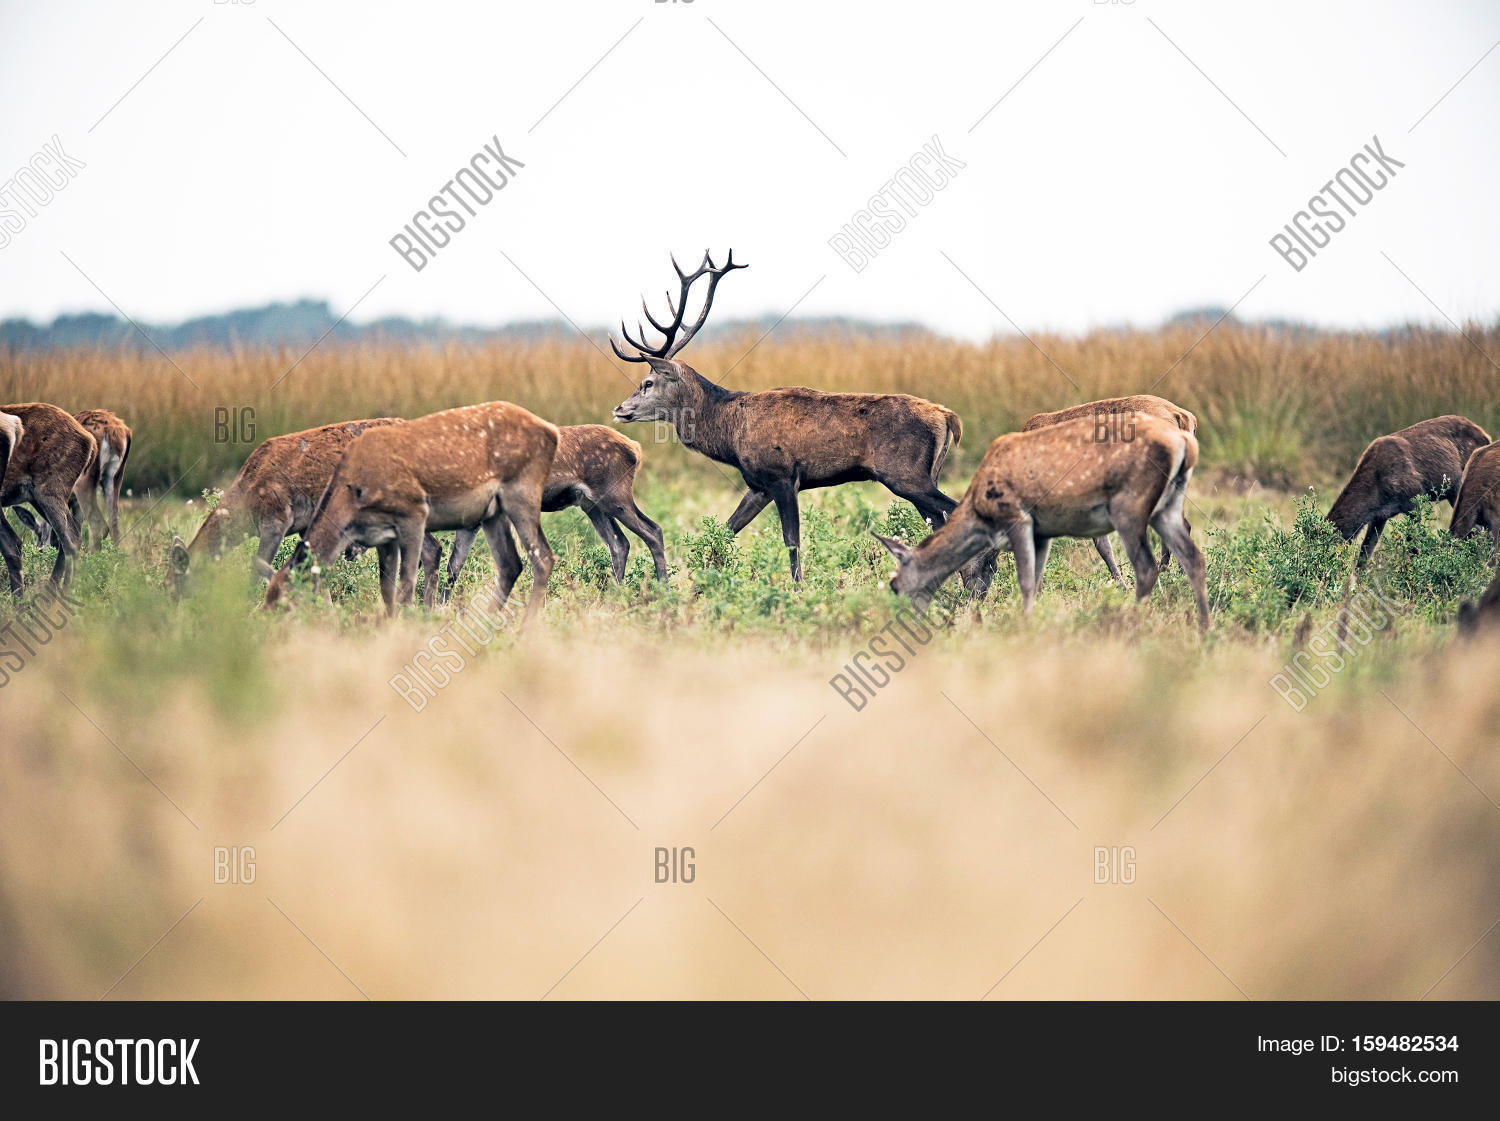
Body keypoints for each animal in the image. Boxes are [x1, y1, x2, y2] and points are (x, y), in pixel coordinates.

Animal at [14, 408, 133, 549]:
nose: (40, 548)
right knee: (114, 526)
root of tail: (113, 432)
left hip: (84, 483)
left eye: (38, 536)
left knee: (99, 526)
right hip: (115, 478)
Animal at [265, 402, 559, 625]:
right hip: (493, 513)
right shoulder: (382, 536)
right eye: (269, 597)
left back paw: (523, 630)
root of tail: (551, 430)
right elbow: (387, 590)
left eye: (286, 602)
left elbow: (406, 586)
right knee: (511, 564)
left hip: (522, 494)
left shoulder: (413, 514)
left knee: (543, 557)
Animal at [439, 423, 666, 602]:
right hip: (591, 504)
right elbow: (453, 566)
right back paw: (611, 600)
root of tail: (636, 449)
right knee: (620, 543)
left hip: (614, 495)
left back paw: (663, 593)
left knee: (653, 530)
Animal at [611, 250, 982, 587]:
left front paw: (798, 589)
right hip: (921, 476)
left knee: (953, 511)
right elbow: (726, 532)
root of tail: (948, 417)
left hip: (905, 474)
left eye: (647, 382)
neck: (730, 433)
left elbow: (792, 541)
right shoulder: (757, 485)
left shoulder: (783, 476)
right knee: (939, 519)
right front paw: (697, 583)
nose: (620, 409)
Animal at [1327, 415, 1492, 564]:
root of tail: (1487, 436)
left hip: (1458, 488)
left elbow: (1413, 545)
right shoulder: (1380, 516)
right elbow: (1365, 552)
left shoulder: (1414, 498)